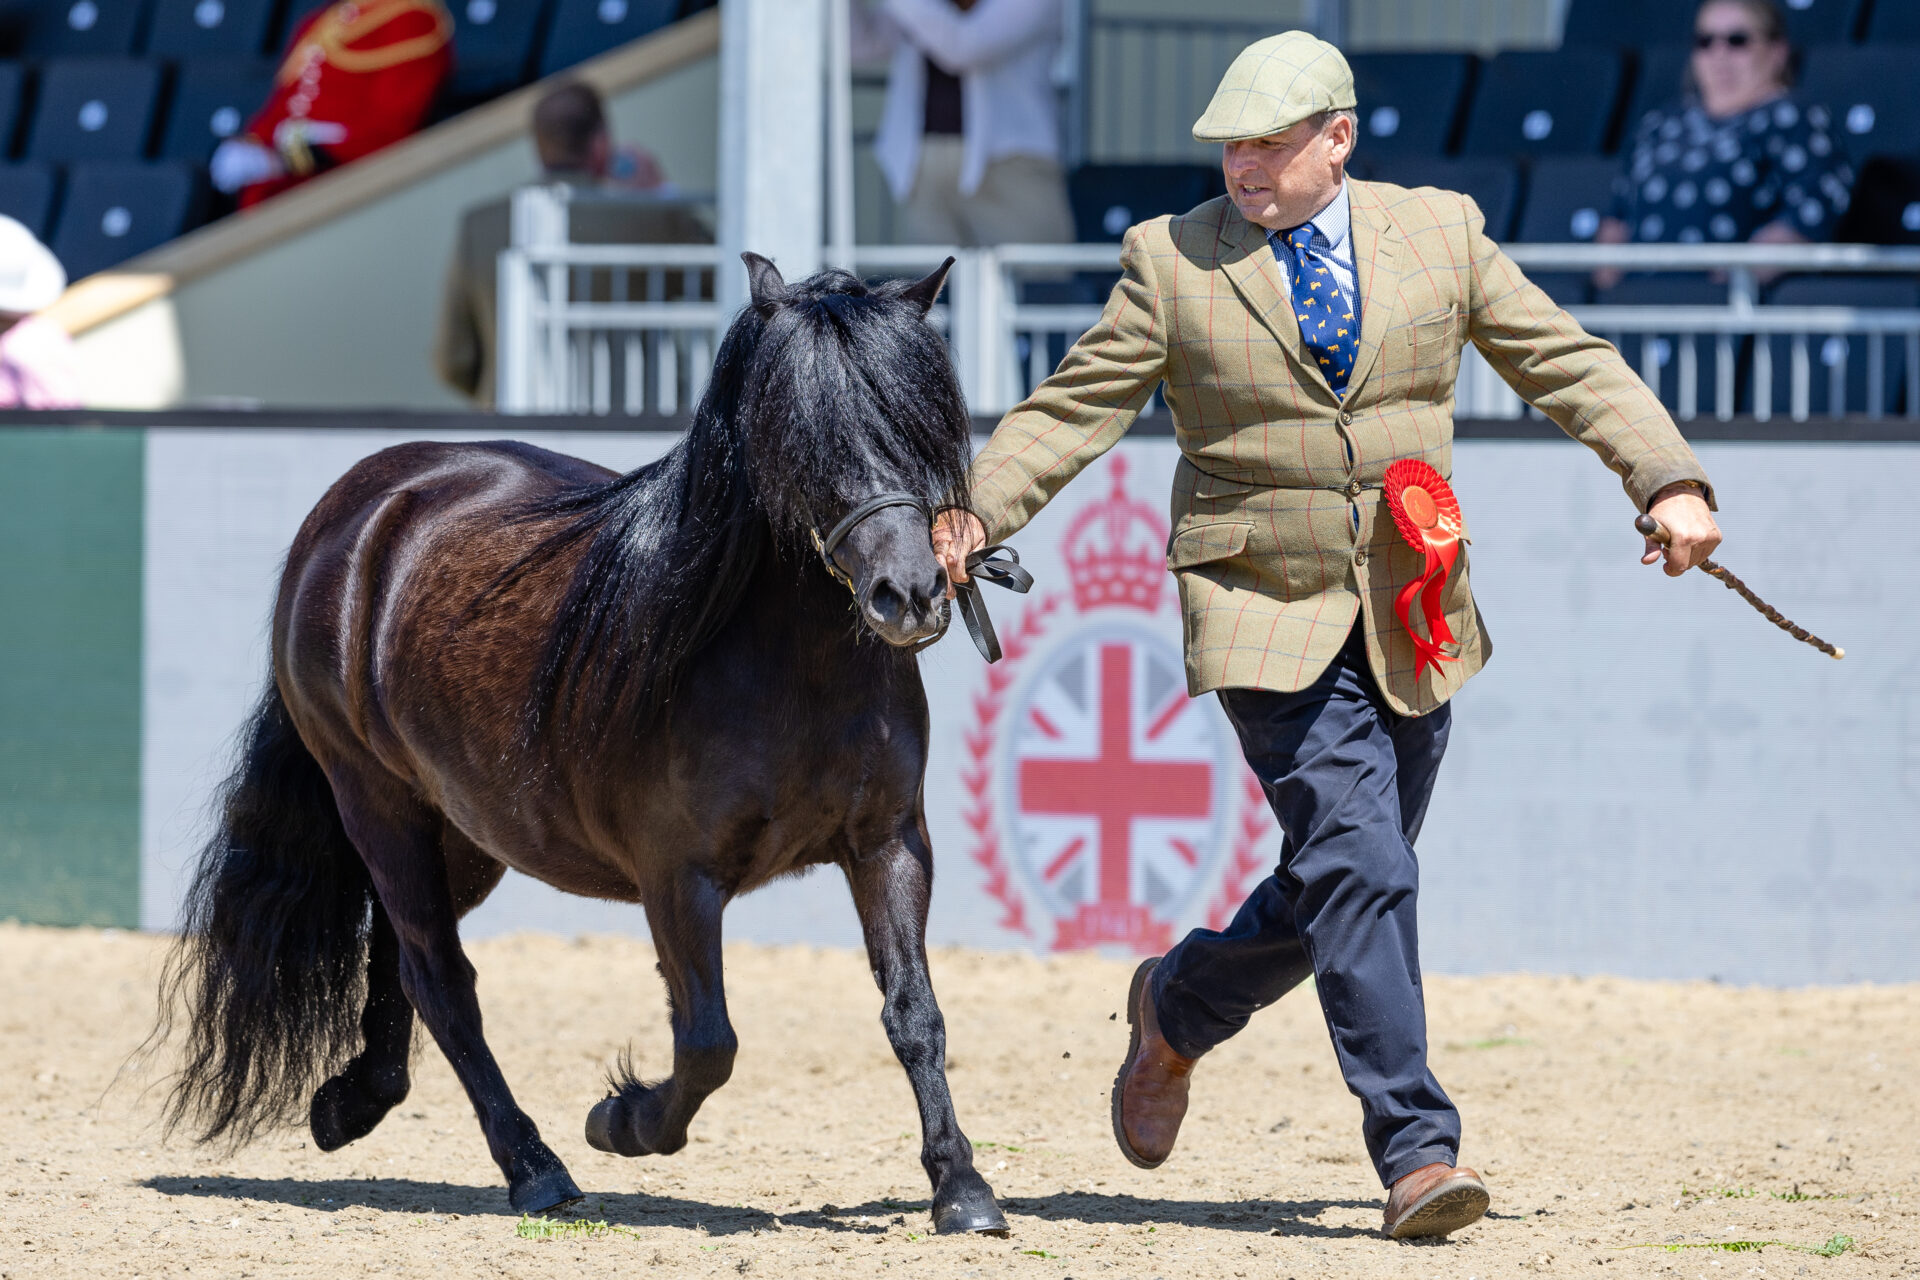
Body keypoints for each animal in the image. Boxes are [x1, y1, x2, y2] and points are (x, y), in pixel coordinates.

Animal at [157, 252, 1009, 1235]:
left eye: (923, 421)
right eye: (802, 433)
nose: (909, 596)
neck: (790, 670)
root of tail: (361, 505)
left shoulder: (888, 846)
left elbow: (914, 1013)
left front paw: (962, 1187)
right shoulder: (678, 877)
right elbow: (708, 1040)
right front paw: (621, 1119)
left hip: (465, 832)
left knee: (399, 958)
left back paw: (353, 1103)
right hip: (377, 802)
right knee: (443, 980)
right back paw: (535, 1167)